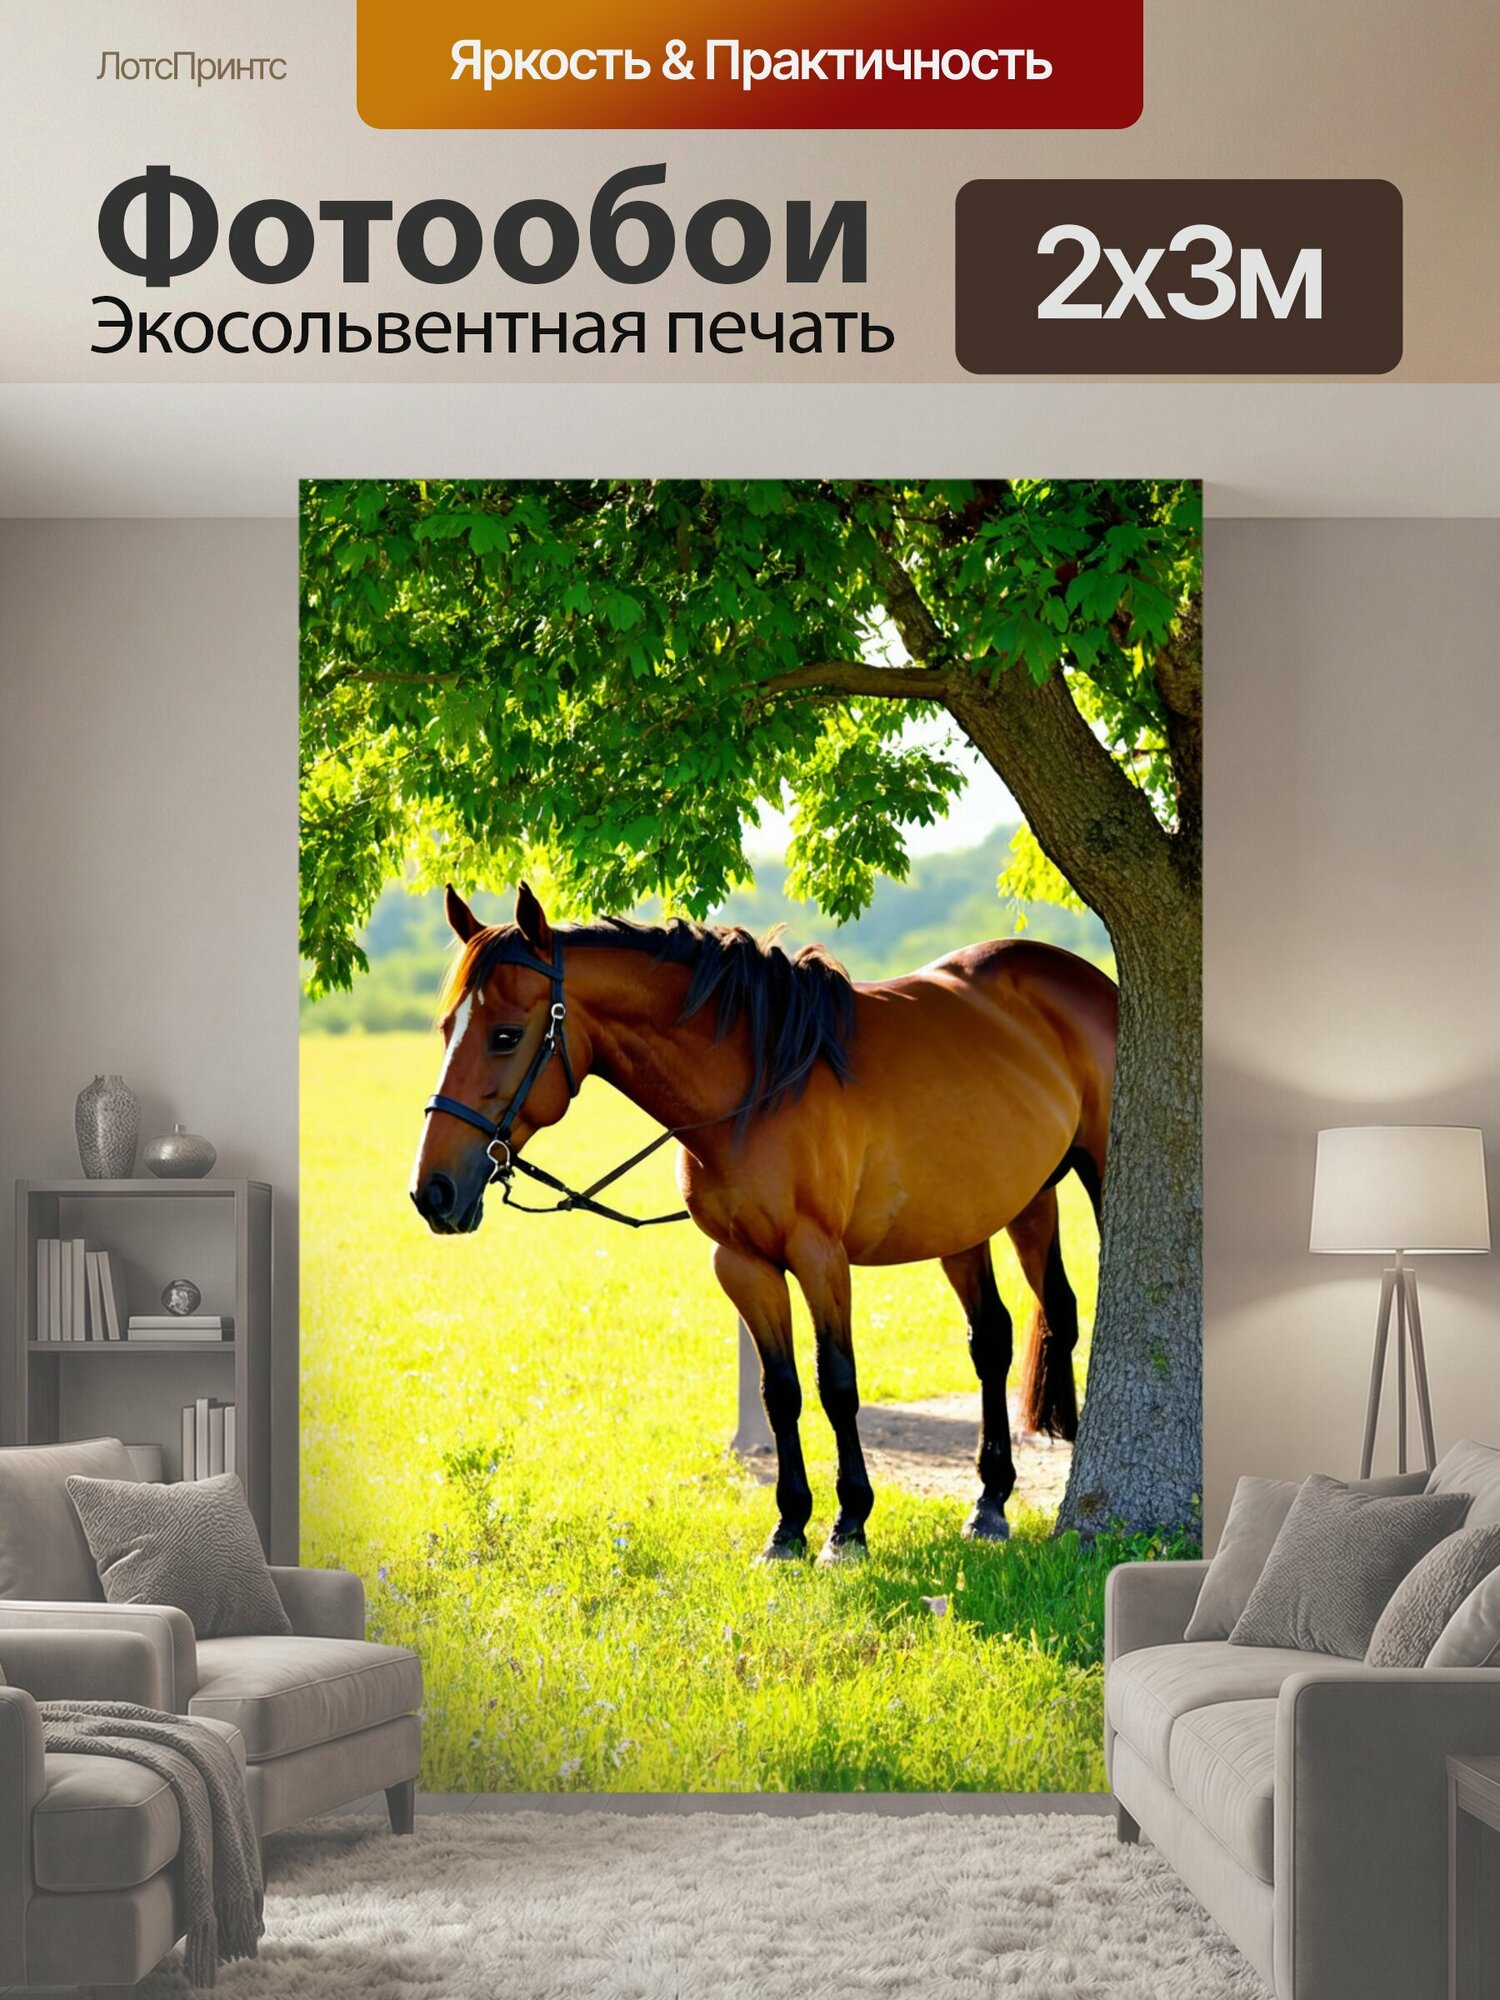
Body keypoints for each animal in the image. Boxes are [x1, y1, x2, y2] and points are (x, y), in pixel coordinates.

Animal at [412, 883, 1116, 1564]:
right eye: (446, 1028)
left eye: (505, 1035)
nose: (433, 1193)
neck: (758, 1084)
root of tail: (1088, 981)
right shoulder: (742, 1263)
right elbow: (780, 1390)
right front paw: (789, 1526)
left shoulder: (819, 1257)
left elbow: (836, 1383)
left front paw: (848, 1525)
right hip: (986, 1212)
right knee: (995, 1338)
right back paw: (990, 1502)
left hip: (1091, 1178)